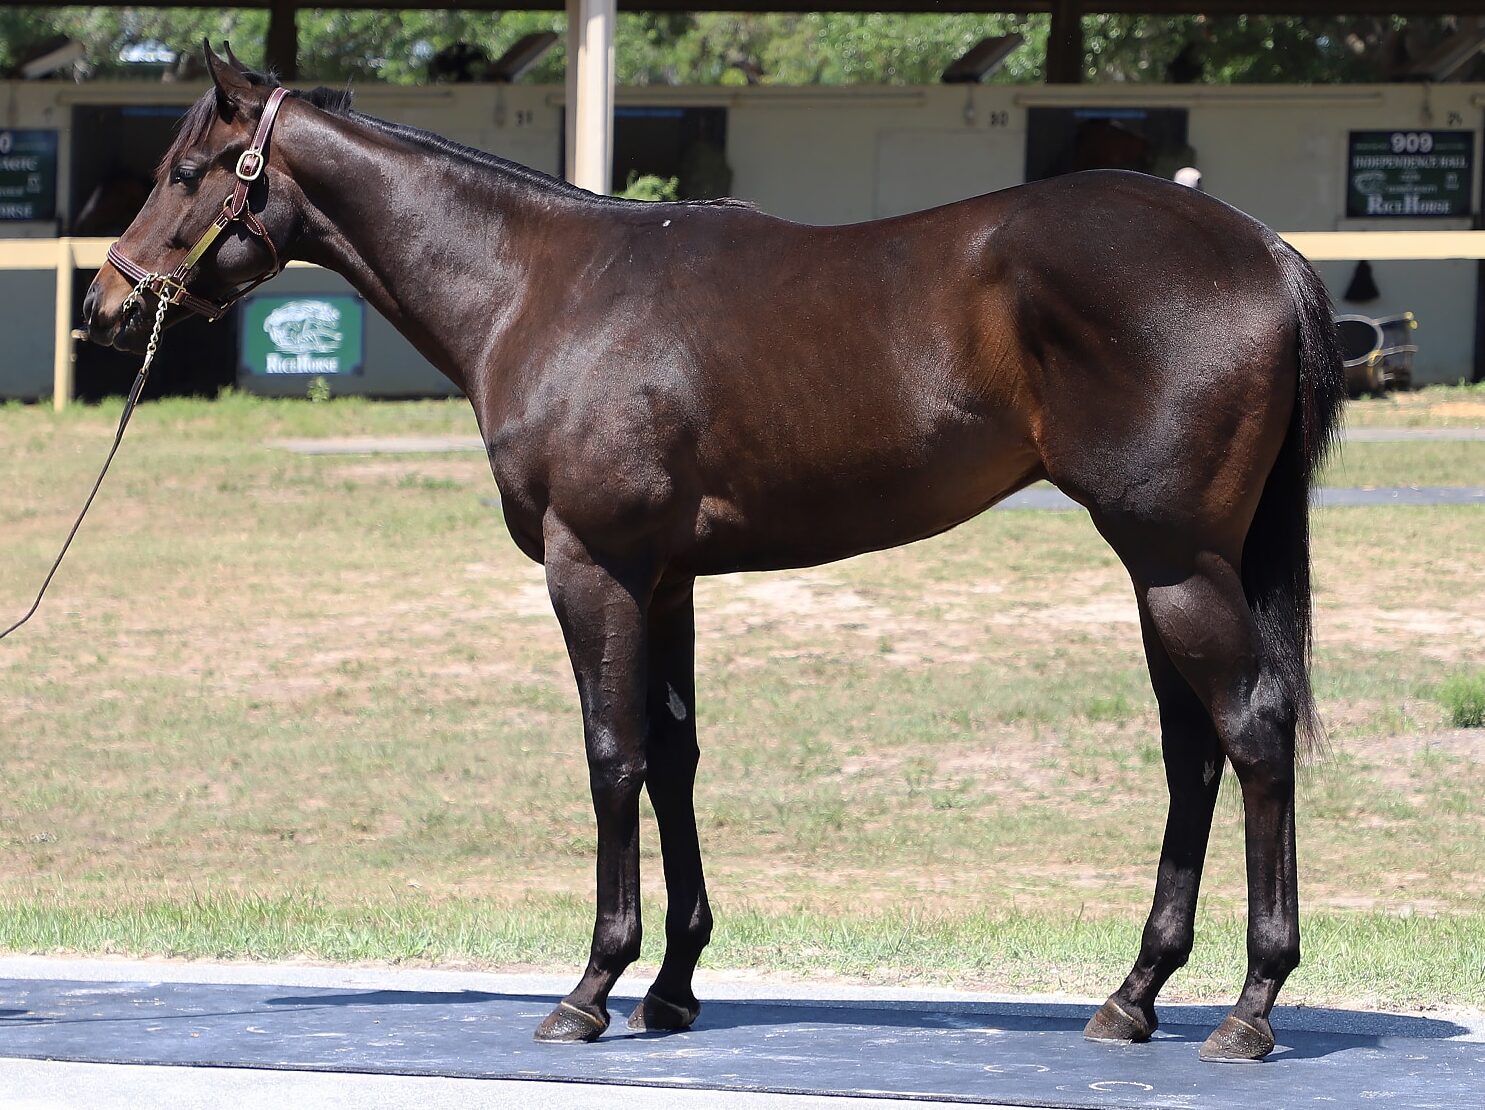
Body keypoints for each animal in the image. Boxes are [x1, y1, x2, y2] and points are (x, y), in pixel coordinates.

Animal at [82, 44, 1345, 1062]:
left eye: (187, 172)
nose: (104, 304)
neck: (543, 286)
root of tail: (1264, 249)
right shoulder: (667, 578)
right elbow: (676, 757)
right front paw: (675, 985)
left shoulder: (590, 567)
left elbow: (612, 758)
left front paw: (593, 985)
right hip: (1168, 568)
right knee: (1193, 753)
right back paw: (1135, 995)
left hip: (1174, 562)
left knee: (1251, 731)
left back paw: (1251, 1006)